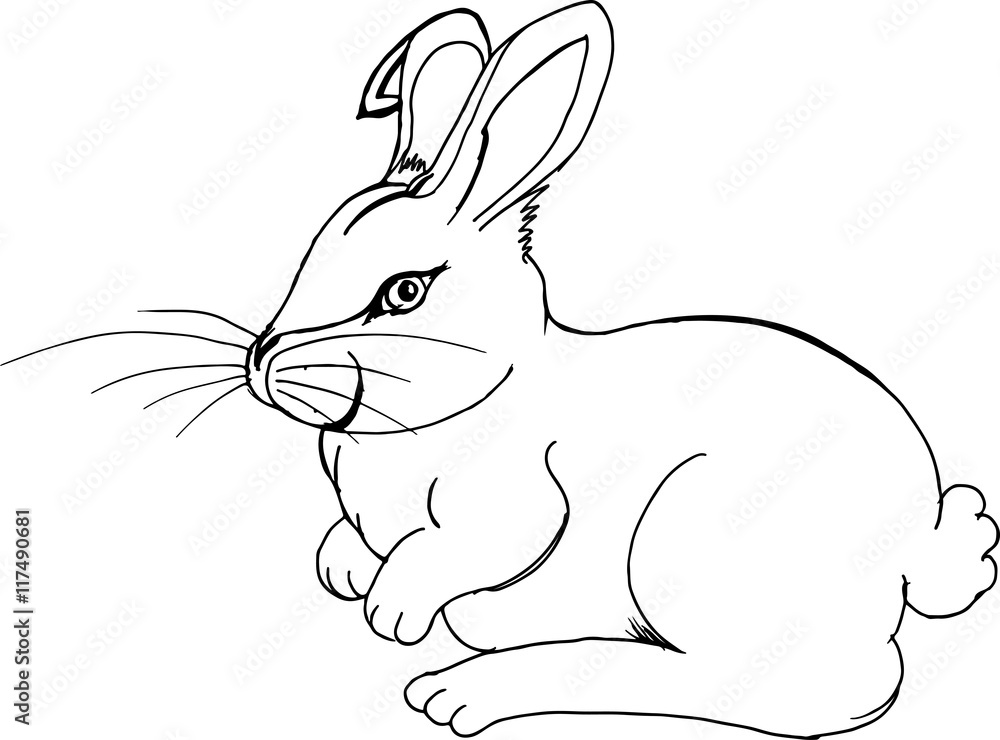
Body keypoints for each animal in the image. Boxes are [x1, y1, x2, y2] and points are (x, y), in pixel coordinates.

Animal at [4, 2, 995, 738]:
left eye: (403, 293)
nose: (264, 364)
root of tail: (910, 549)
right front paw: (345, 568)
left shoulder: (520, 499)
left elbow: (464, 546)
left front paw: (393, 611)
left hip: (687, 537)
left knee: (800, 686)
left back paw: (464, 690)